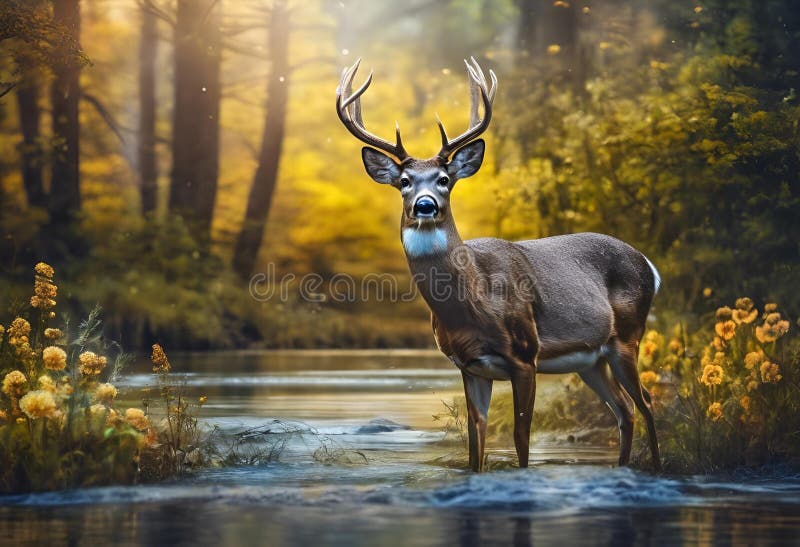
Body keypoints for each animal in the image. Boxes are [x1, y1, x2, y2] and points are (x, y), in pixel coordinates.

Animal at [336, 58, 661, 473]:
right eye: (405, 181)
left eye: (444, 179)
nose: (425, 205)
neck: (475, 303)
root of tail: (649, 265)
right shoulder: (469, 365)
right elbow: (476, 443)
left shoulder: (525, 355)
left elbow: (521, 439)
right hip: (592, 358)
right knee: (624, 410)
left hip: (627, 337)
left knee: (646, 402)